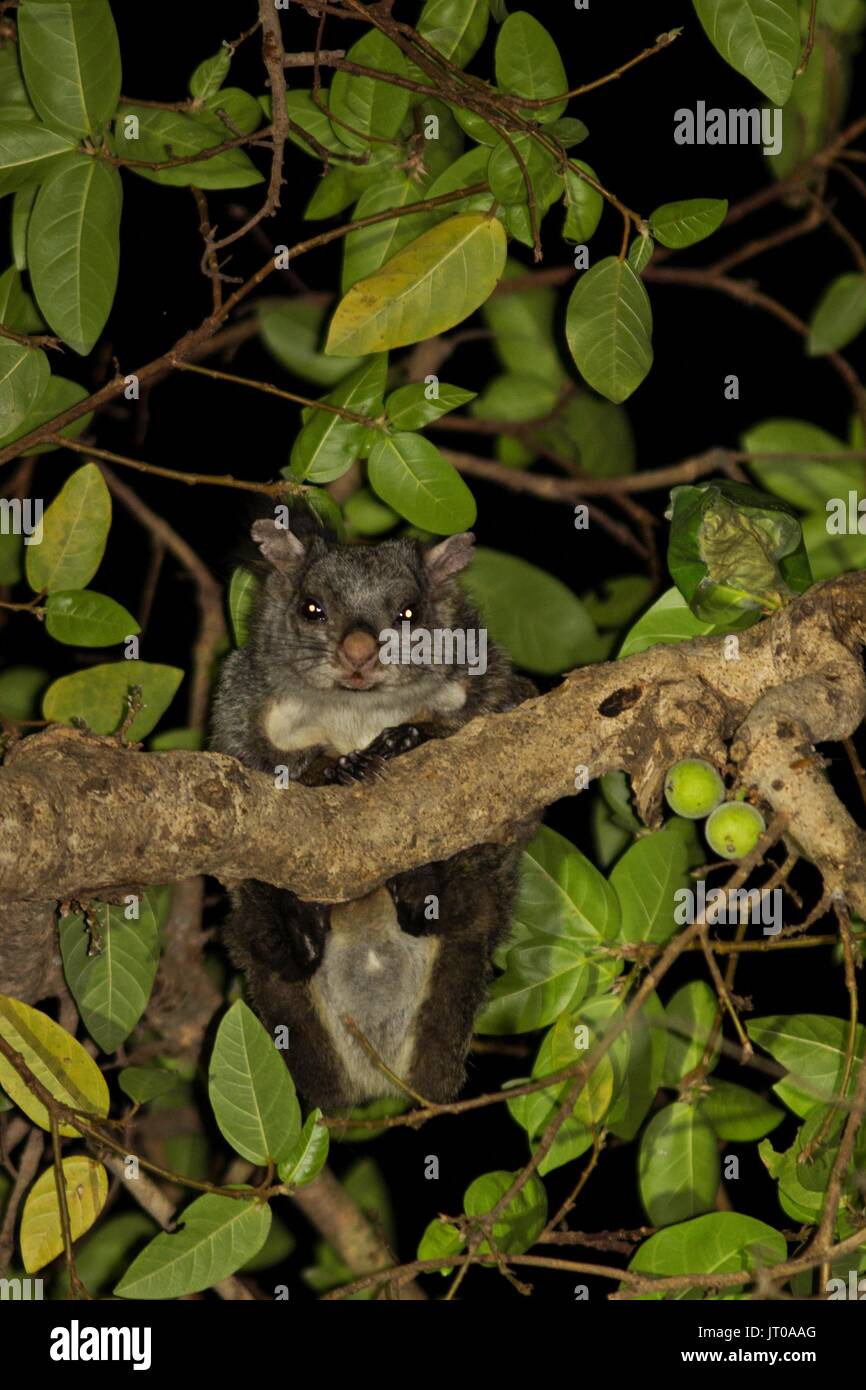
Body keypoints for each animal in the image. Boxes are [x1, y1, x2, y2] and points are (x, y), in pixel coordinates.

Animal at [210, 506, 538, 1113]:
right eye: (312, 608)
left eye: (408, 614)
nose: (360, 651)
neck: (358, 711)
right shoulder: (237, 705)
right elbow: (255, 762)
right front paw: (331, 768)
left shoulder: (498, 682)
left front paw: (408, 738)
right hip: (252, 929)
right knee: (269, 939)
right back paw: (301, 929)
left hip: (486, 899)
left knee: (461, 901)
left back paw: (420, 888)